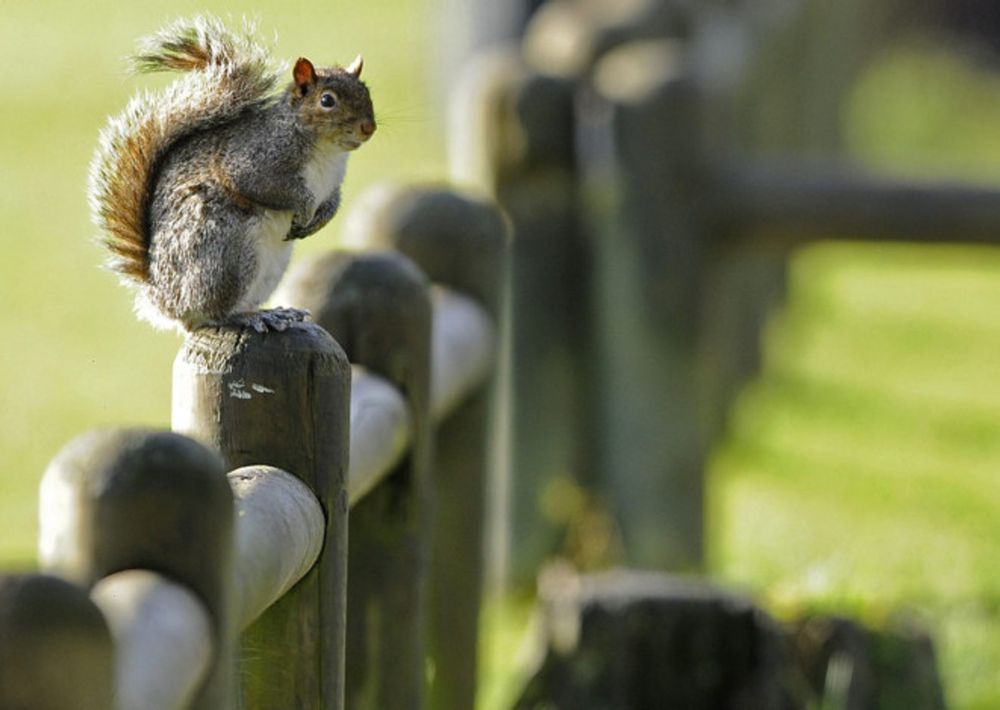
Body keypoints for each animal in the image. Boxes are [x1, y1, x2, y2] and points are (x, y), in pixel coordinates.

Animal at [88, 16, 376, 332]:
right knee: (214, 314)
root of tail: (167, 302)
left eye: (367, 92)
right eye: (327, 101)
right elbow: (267, 186)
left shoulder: (332, 183)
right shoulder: (254, 161)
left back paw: (275, 312)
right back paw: (249, 316)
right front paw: (304, 207)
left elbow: (332, 202)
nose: (368, 128)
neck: (327, 152)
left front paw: (320, 219)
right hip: (225, 256)